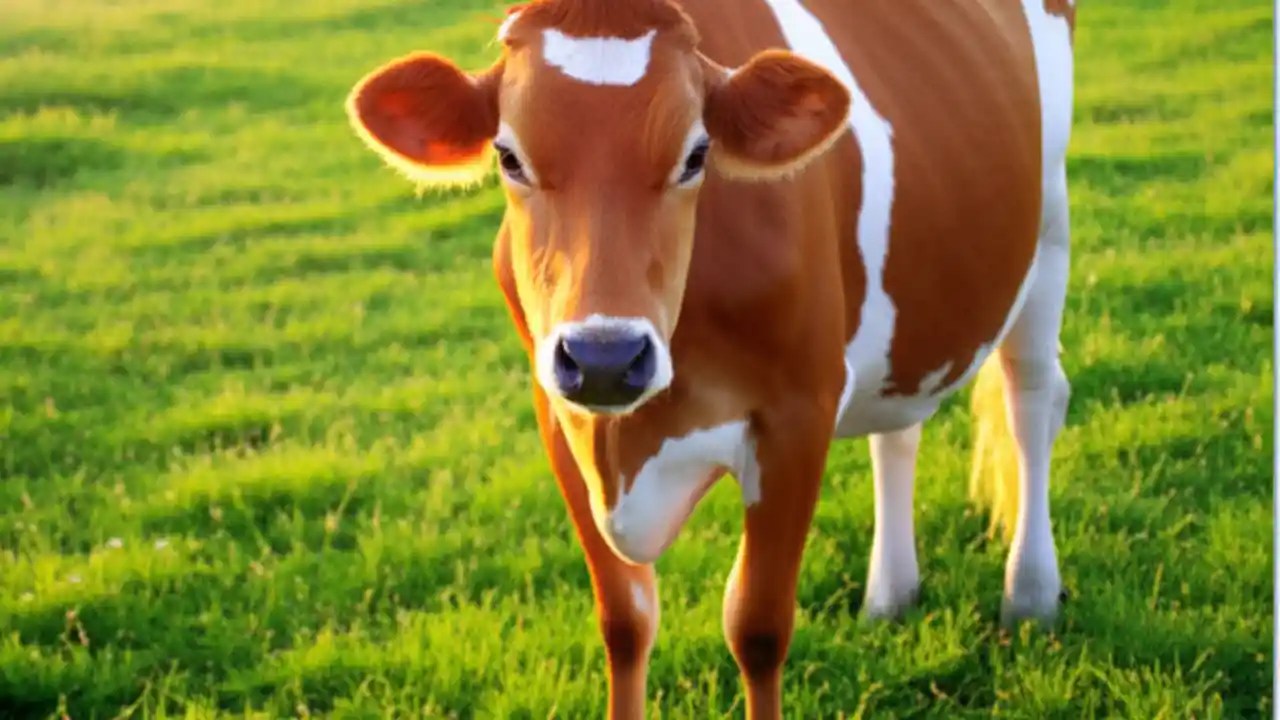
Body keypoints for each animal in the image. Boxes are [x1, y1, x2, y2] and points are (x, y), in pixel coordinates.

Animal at [345, 0, 1076, 715]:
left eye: (696, 154)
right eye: (508, 157)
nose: (606, 356)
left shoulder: (797, 415)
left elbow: (757, 626)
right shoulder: (557, 414)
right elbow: (625, 622)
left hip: (1049, 230)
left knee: (1033, 402)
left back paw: (1031, 596)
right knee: (899, 429)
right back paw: (891, 594)